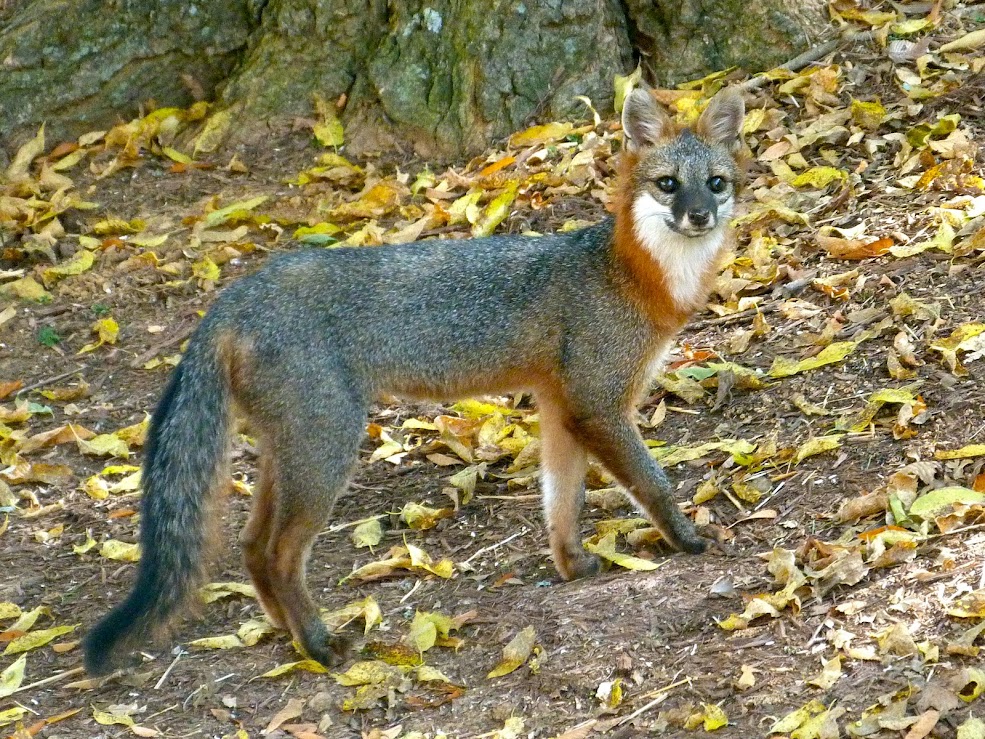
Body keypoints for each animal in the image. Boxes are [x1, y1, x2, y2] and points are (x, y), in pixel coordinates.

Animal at [82, 85, 746, 675]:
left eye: (715, 182)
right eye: (668, 184)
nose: (698, 214)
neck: (633, 277)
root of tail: (235, 295)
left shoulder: (560, 408)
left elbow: (562, 503)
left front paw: (572, 565)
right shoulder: (598, 405)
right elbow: (653, 483)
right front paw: (687, 538)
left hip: (291, 450)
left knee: (249, 544)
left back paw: (287, 633)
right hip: (327, 449)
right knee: (277, 552)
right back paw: (319, 645)